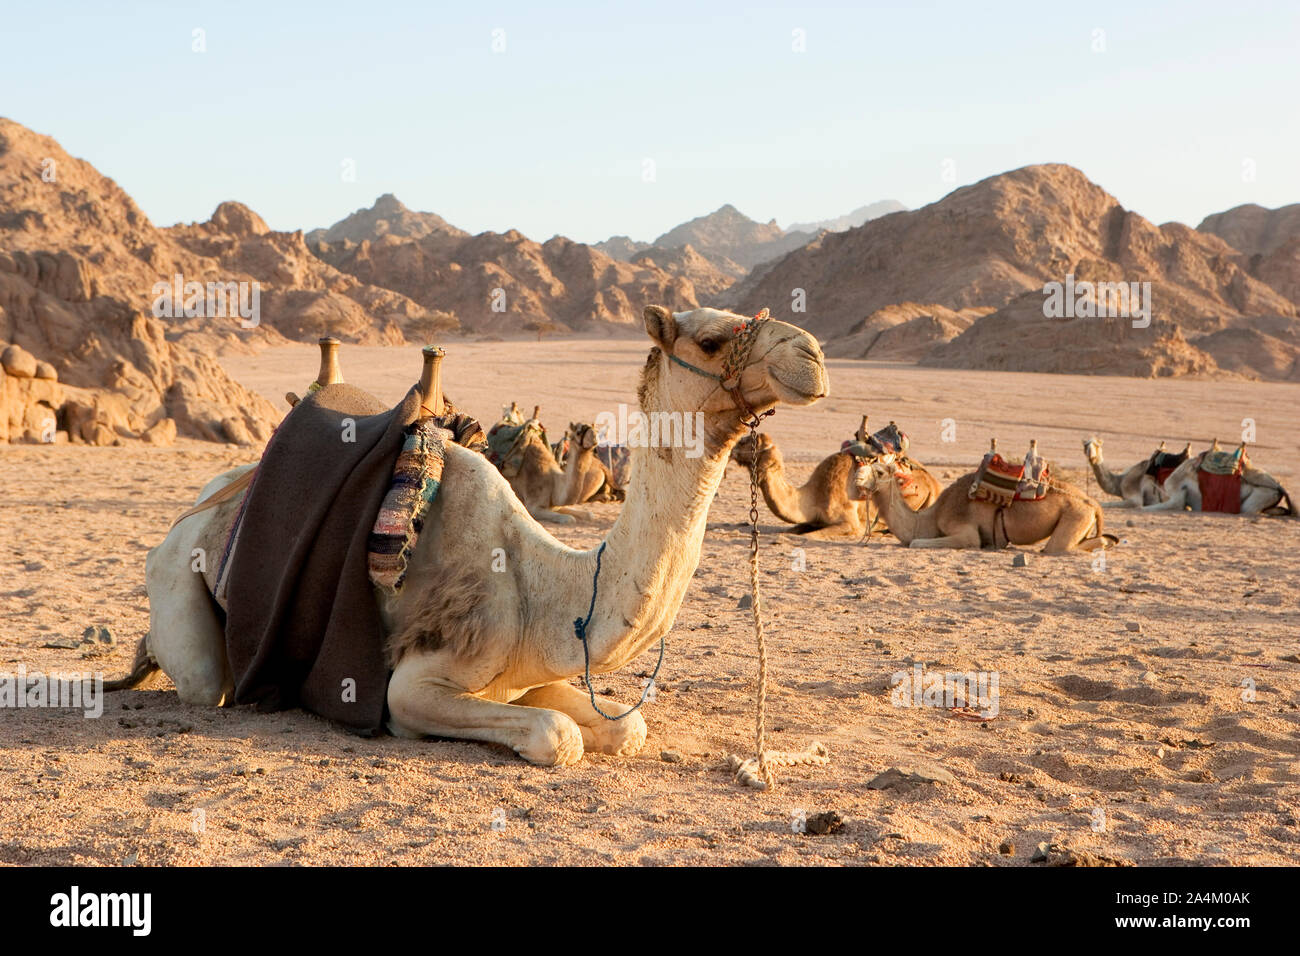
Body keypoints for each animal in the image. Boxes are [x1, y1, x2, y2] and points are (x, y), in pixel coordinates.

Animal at [109, 306, 829, 766]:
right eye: (711, 339)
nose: (814, 354)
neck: (550, 596)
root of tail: (203, 505)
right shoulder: (414, 685)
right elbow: (558, 736)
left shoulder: (526, 676)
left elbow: (626, 726)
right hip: (178, 589)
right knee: (204, 678)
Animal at [732, 431, 940, 539]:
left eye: (745, 441)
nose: (731, 449)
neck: (814, 496)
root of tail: (935, 483)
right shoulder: (813, 519)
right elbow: (793, 530)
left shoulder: (848, 522)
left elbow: (806, 536)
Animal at [847, 448, 1115, 553]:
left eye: (880, 472)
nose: (857, 479)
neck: (931, 517)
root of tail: (1094, 504)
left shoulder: (966, 532)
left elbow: (915, 542)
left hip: (1075, 515)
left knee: (1058, 547)